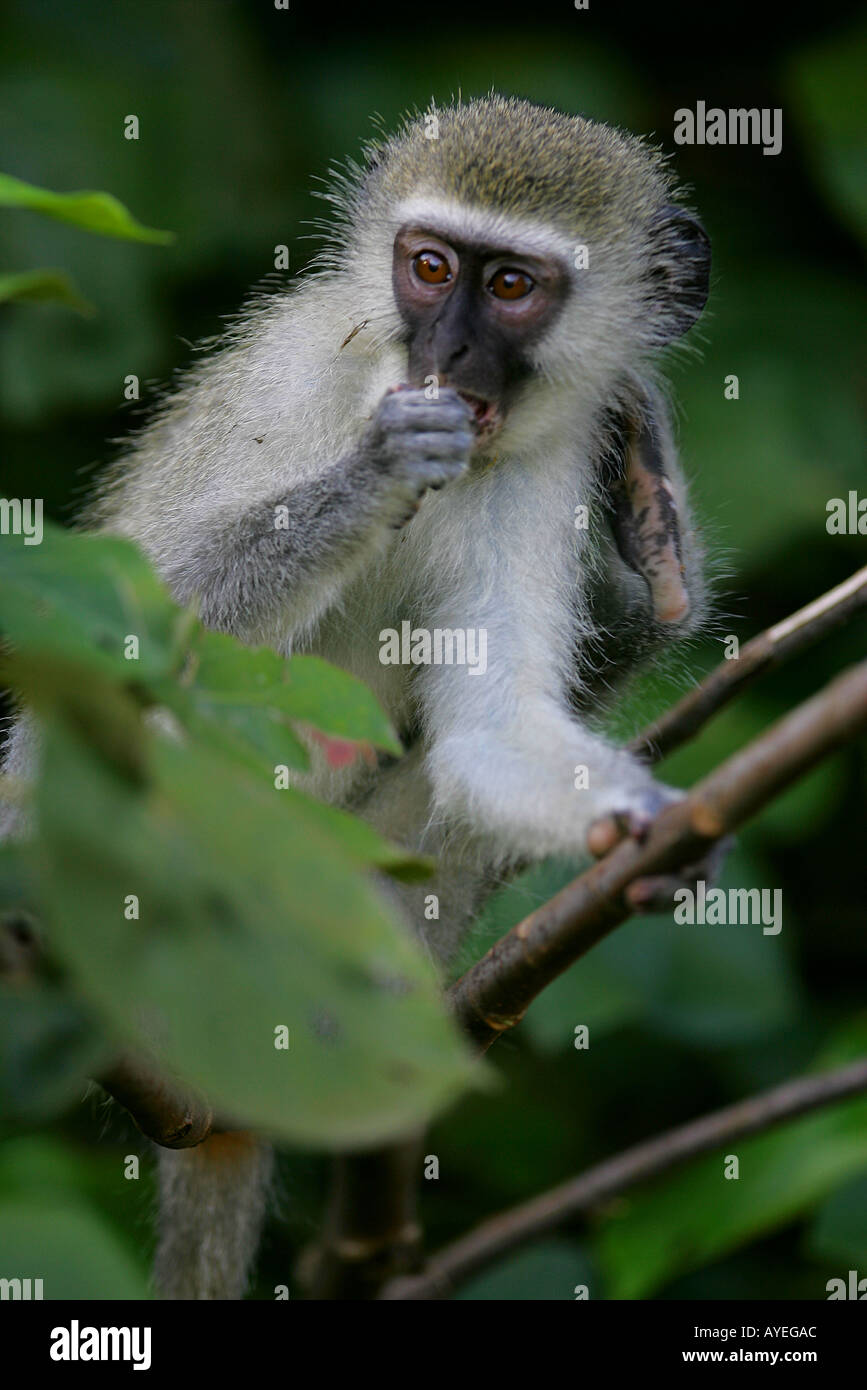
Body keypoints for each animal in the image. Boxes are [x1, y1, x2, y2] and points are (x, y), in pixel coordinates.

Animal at [0, 95, 718, 1298]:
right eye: (429, 267)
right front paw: (370, 481)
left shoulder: (549, 459)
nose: (445, 353)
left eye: (510, 286)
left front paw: (645, 807)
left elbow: (491, 732)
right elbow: (110, 632)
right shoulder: (296, 376)